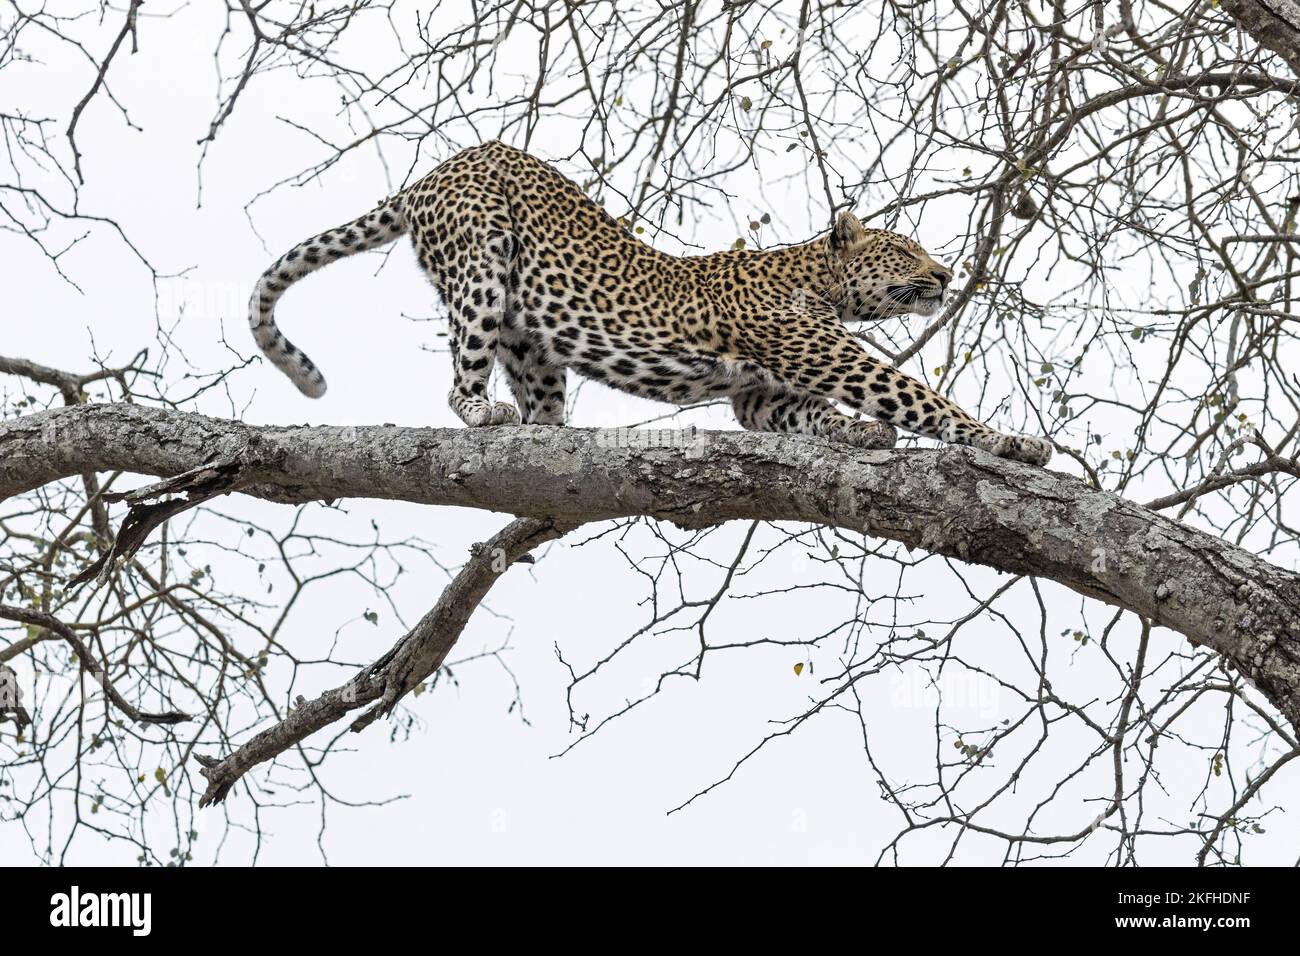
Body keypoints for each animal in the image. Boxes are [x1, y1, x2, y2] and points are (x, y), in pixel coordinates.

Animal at [248, 141, 1052, 466]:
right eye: (908, 253)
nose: (946, 275)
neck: (819, 280)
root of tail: (432, 173)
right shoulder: (825, 353)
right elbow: (920, 397)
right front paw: (1013, 443)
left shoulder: (761, 394)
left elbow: (808, 415)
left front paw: (853, 434)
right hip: (480, 269)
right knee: (460, 376)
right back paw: (482, 412)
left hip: (531, 332)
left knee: (537, 394)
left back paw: (549, 437)